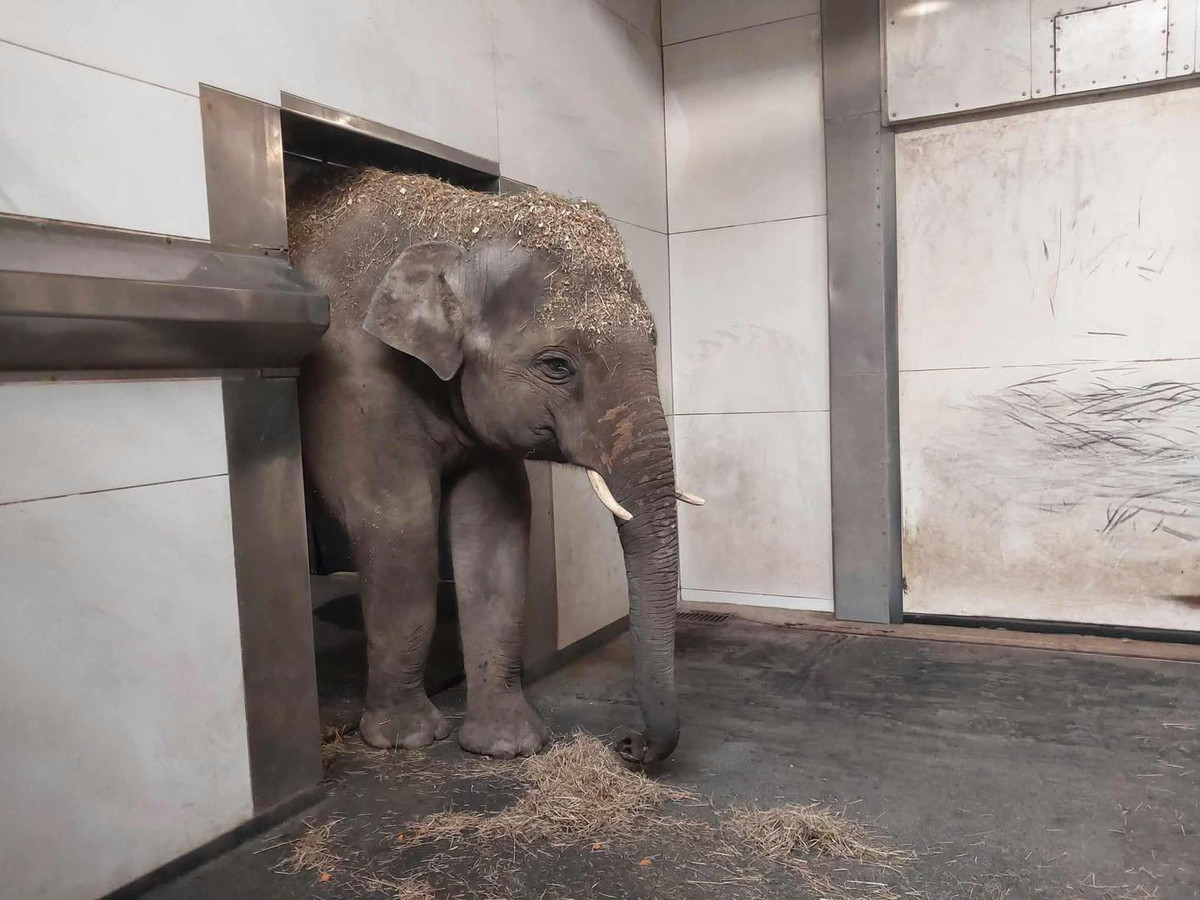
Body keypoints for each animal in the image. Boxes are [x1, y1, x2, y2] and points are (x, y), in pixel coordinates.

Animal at [288, 168, 701, 765]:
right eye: (557, 366)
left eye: (653, 340)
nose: (630, 744)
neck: (462, 220)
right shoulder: (354, 373)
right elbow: (399, 520)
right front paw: (405, 739)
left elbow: (495, 522)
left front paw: (508, 746)